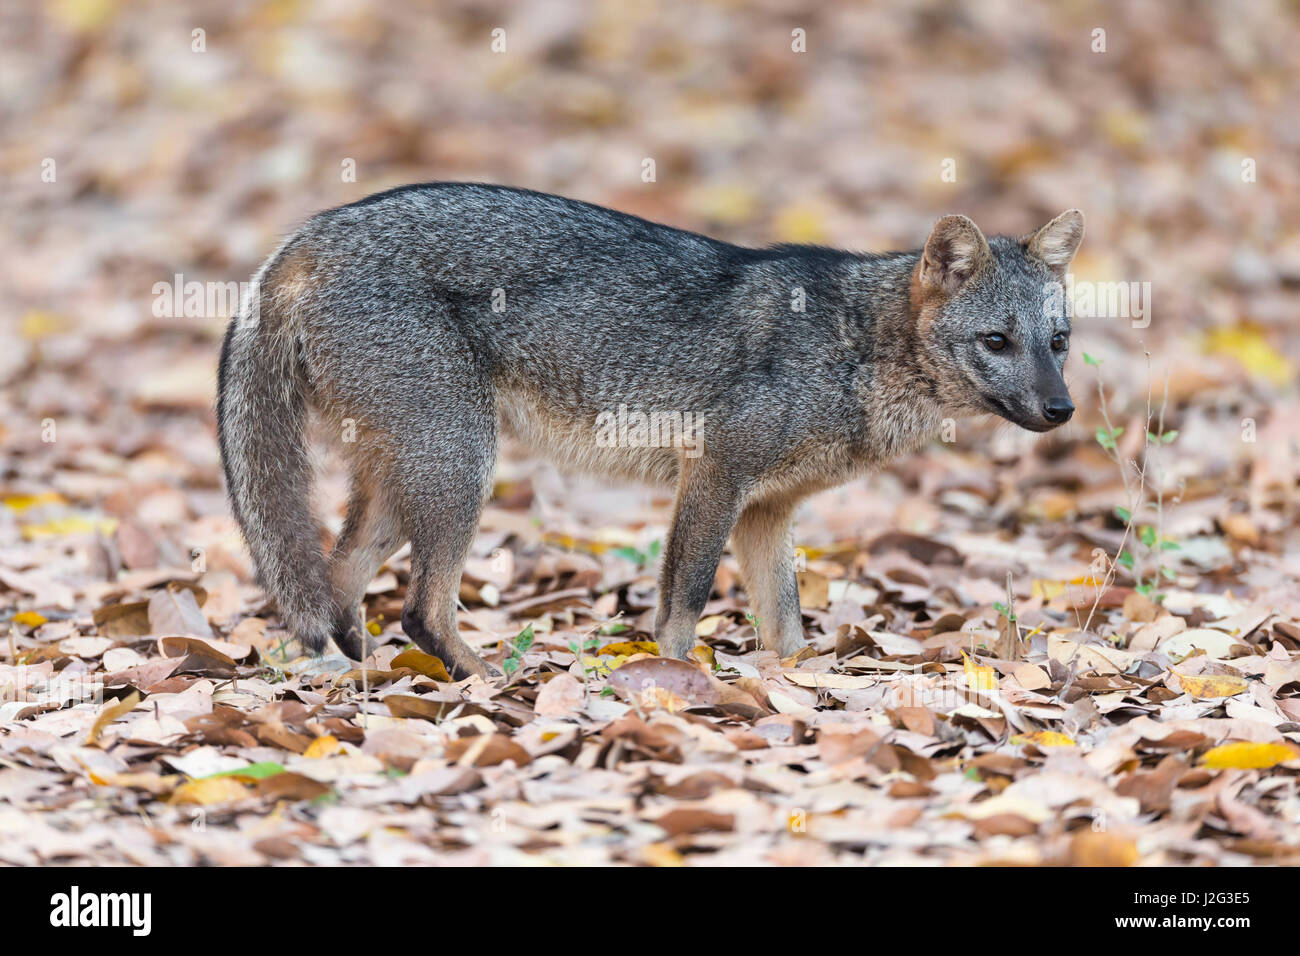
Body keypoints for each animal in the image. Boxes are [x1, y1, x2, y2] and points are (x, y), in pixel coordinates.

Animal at [217, 183, 1083, 679]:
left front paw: (799, 690)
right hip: (460, 467)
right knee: (420, 610)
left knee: (336, 586)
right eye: (997, 342)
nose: (1061, 410)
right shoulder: (716, 475)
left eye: (1059, 342)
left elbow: (786, 626)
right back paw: (490, 682)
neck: (852, 344)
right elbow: (683, 605)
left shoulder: (769, 511)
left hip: (404, 485)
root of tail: (314, 231)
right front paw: (680, 688)